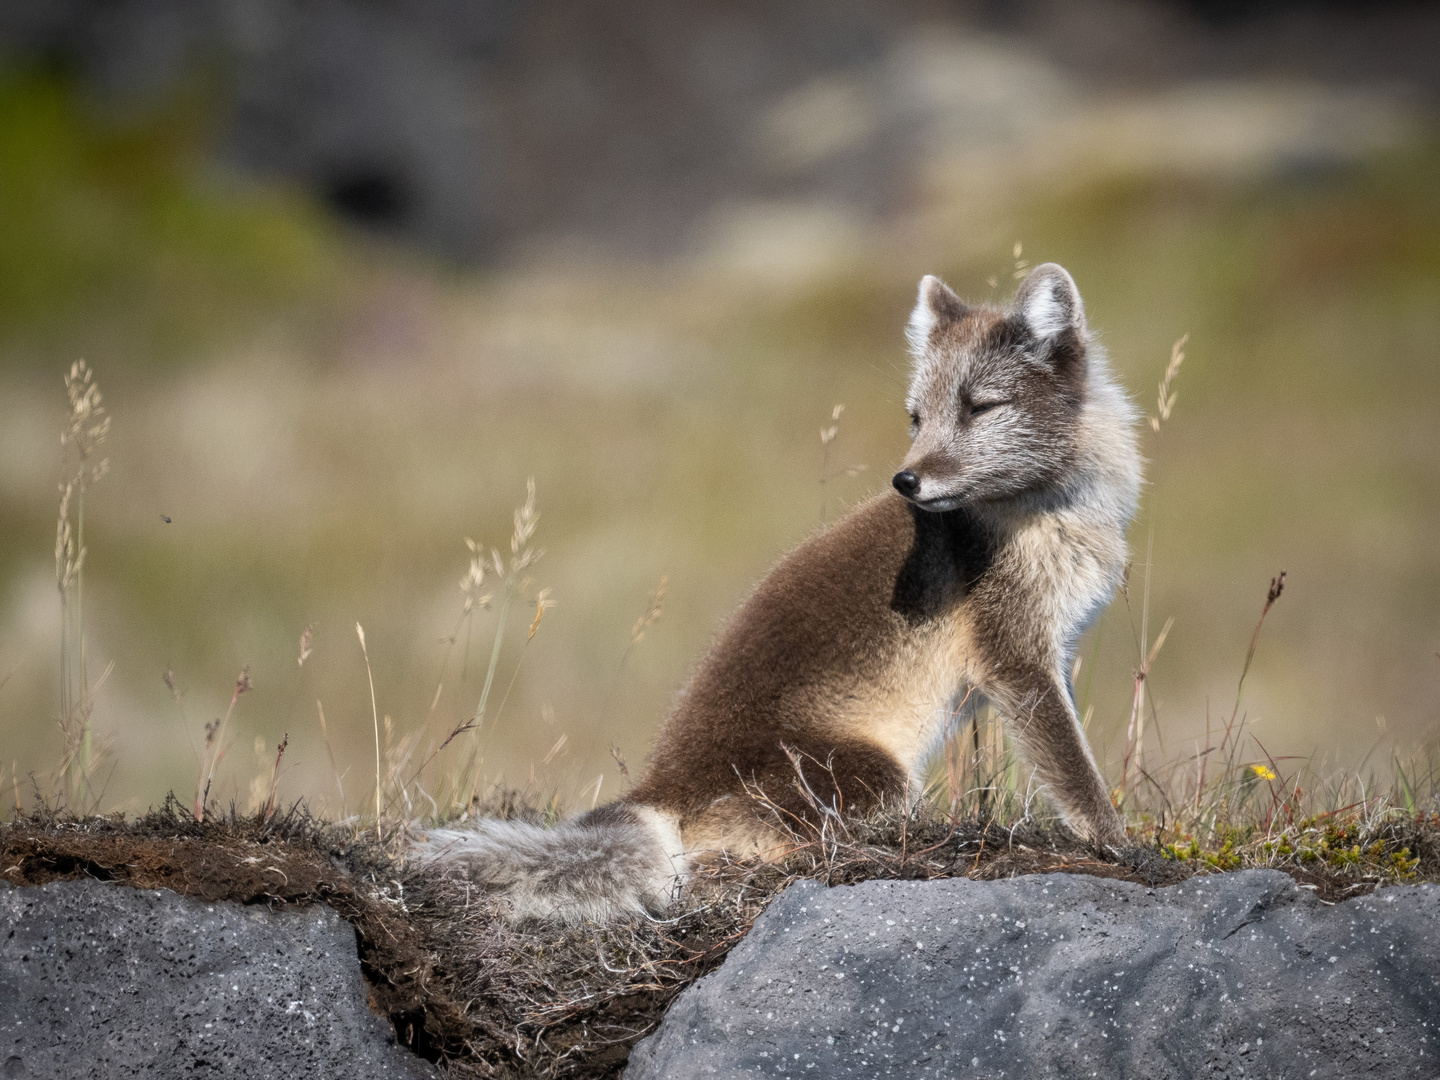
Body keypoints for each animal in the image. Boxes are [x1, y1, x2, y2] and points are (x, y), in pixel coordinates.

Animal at [417, 262, 1134, 921]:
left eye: (980, 407)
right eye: (917, 417)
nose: (905, 481)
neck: (1056, 512)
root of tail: (656, 792)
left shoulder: (1054, 653)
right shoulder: (1015, 658)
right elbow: (1075, 772)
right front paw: (1118, 846)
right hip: (882, 778)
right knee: (730, 859)